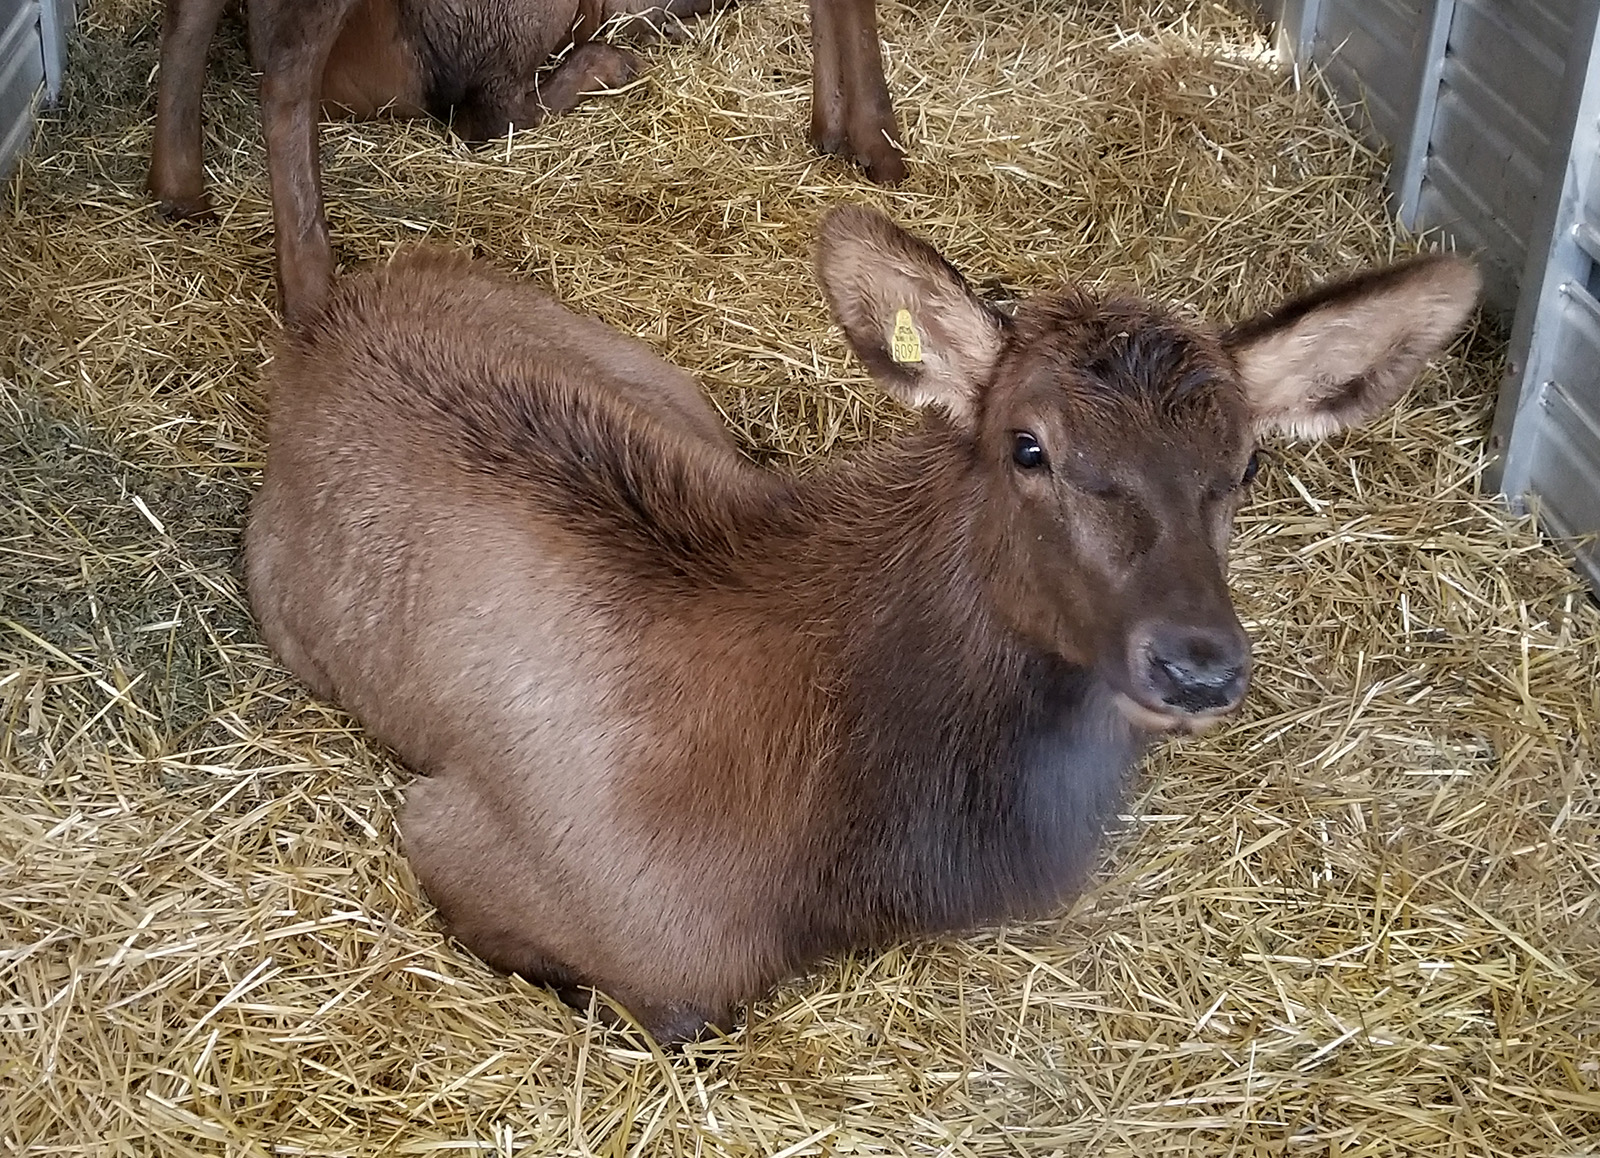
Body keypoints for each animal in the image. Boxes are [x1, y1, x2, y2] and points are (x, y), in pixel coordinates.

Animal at [243, 207, 1480, 1042]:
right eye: (1026, 444)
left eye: (1247, 463)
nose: (1196, 663)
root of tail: (329, 316)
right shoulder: (475, 844)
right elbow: (671, 1010)